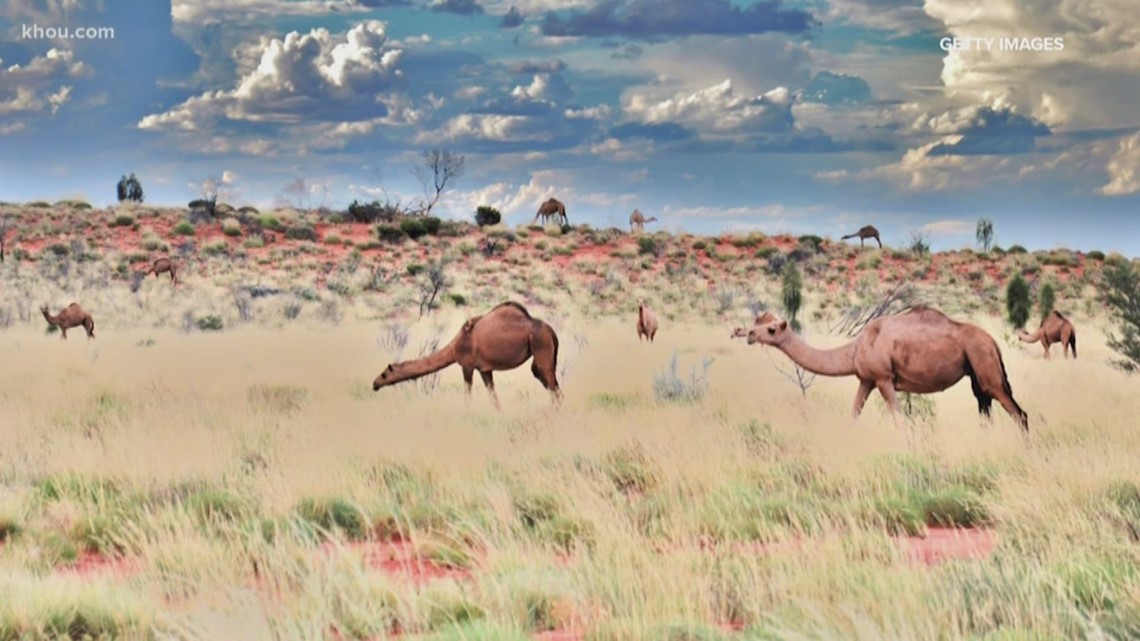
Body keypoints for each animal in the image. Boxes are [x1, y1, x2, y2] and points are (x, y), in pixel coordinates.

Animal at [372, 301, 562, 409]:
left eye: (384, 373)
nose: (375, 384)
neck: (455, 346)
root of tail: (552, 332)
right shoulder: (485, 369)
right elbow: (492, 393)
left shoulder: (467, 365)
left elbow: (467, 392)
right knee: (548, 380)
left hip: (541, 345)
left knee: (550, 381)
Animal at [745, 306, 1028, 432]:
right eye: (757, 323)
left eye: (771, 329)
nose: (747, 334)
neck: (855, 348)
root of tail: (993, 342)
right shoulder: (866, 380)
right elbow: (853, 414)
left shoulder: (883, 378)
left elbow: (899, 420)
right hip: (976, 372)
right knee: (985, 407)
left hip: (984, 362)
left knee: (1019, 413)